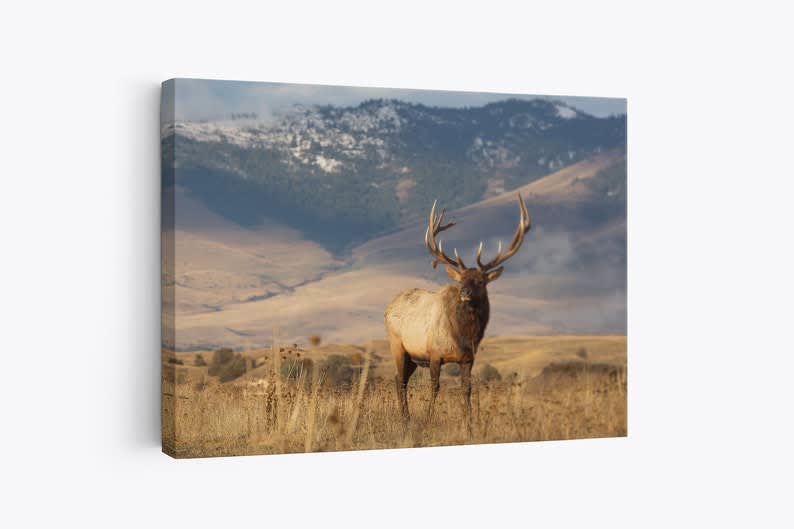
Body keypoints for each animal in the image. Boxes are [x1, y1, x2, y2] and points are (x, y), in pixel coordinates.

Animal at [384, 193, 531, 428]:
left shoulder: (468, 359)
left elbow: (467, 389)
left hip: (413, 357)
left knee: (401, 378)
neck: (463, 335)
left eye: (480, 281)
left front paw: (470, 423)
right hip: (397, 345)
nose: (464, 292)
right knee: (400, 381)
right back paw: (405, 419)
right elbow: (435, 388)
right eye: (461, 279)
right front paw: (428, 420)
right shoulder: (434, 354)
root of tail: (388, 307)